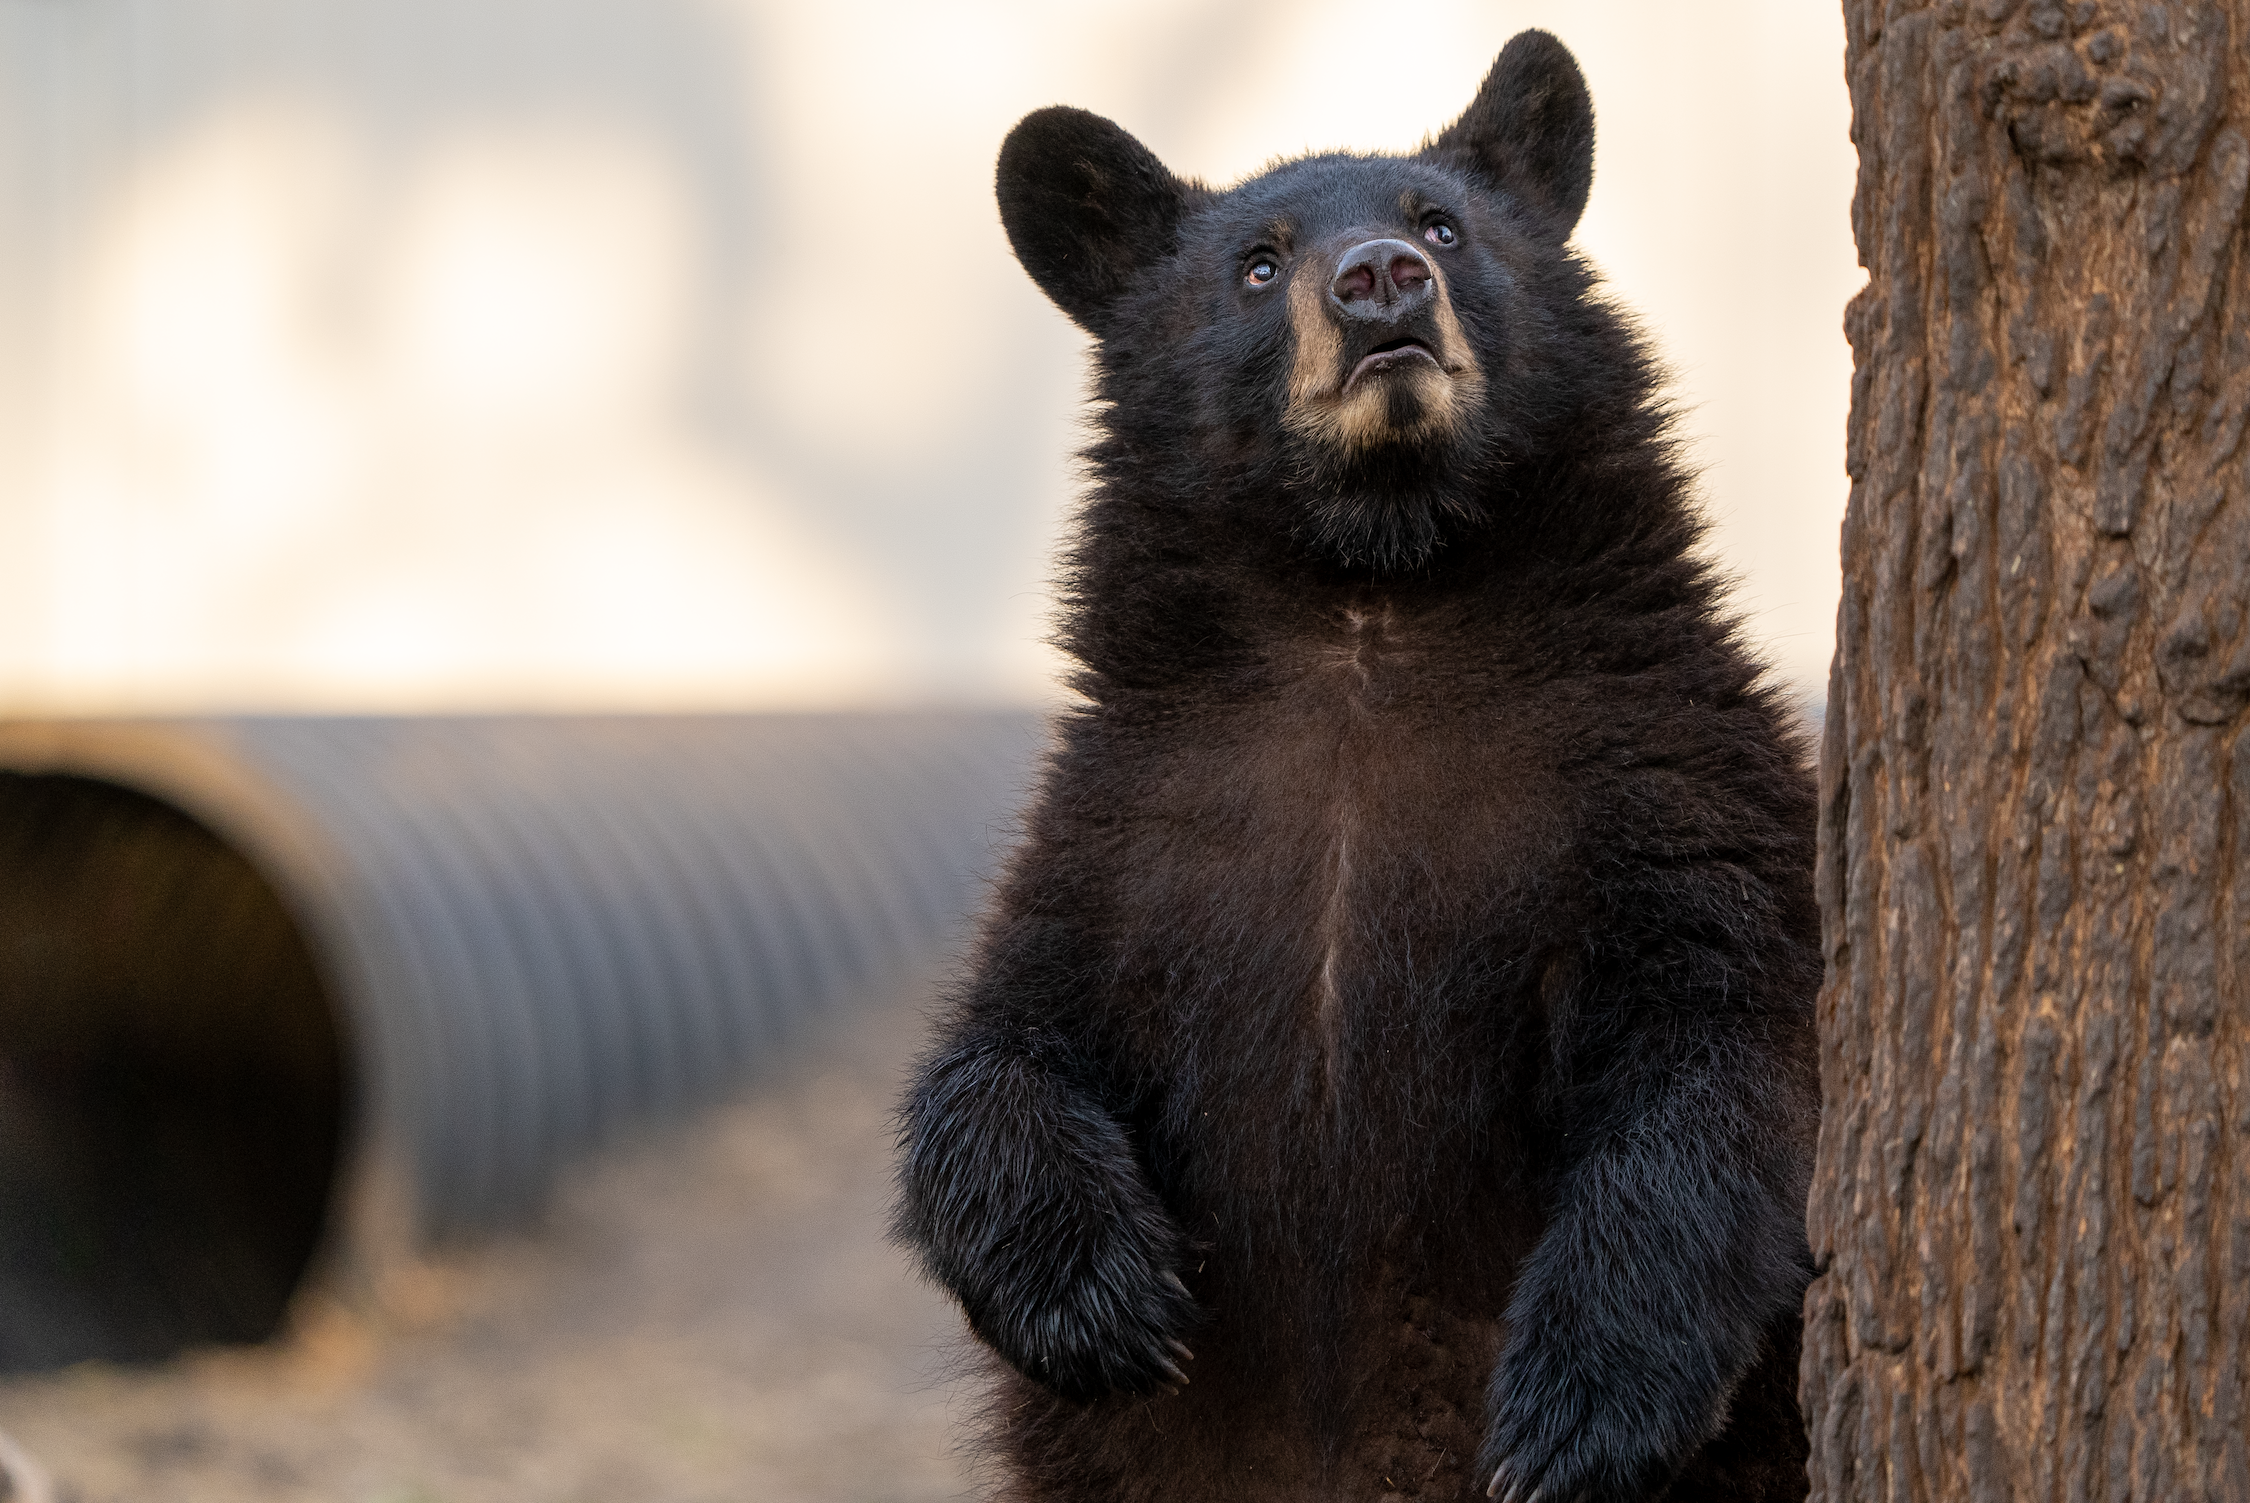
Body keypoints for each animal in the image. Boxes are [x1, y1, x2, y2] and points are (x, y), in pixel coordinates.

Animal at [894, 30, 1820, 1503]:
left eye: (1442, 223)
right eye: (1258, 263)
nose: (1379, 274)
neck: (1369, 607)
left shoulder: (1678, 785)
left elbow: (1719, 1062)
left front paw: (1575, 1410)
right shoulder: (1126, 823)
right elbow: (1001, 1046)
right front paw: (1096, 1298)